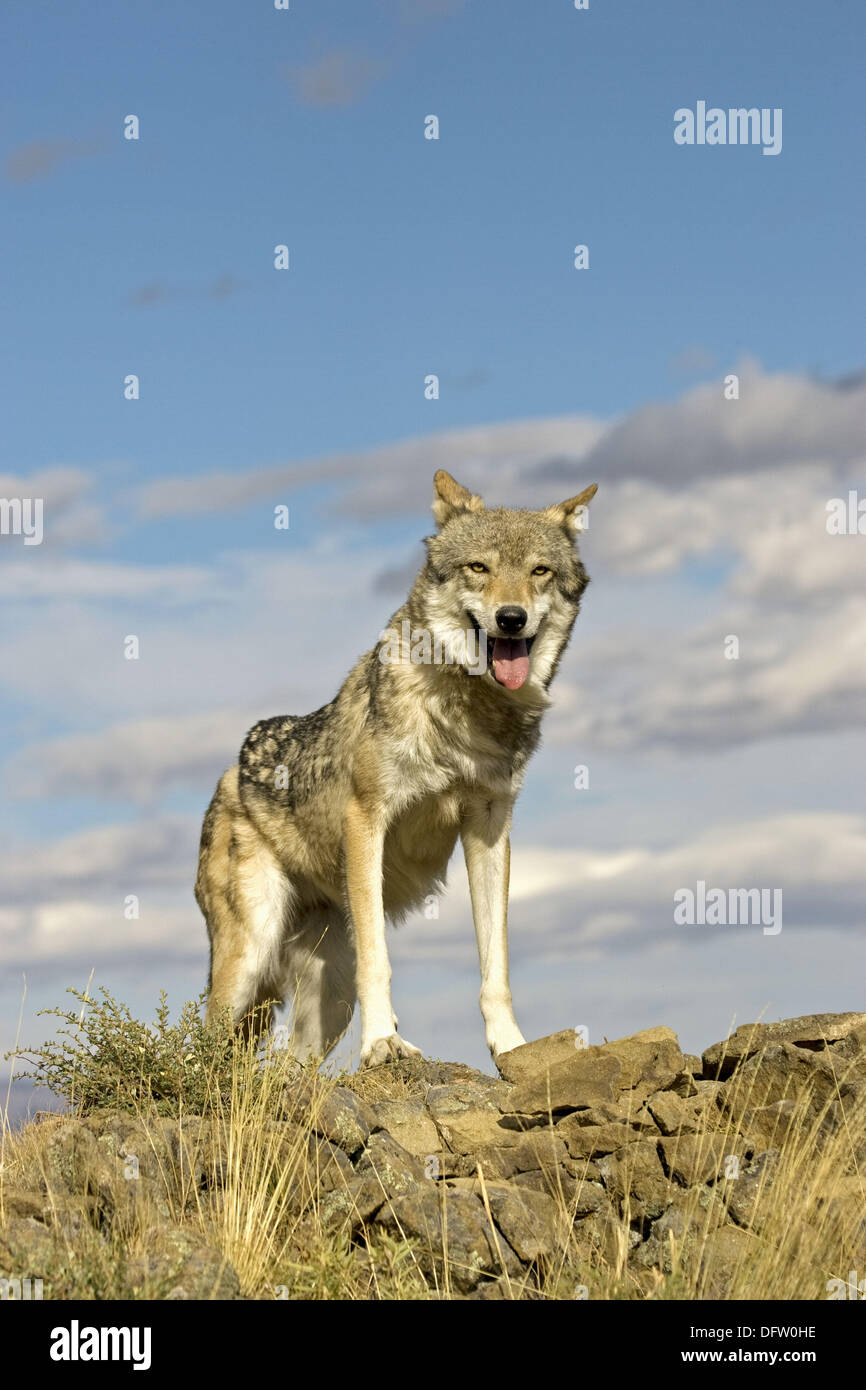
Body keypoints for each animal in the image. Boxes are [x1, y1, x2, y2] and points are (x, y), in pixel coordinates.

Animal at [195, 470, 597, 1068]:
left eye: (538, 571)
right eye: (479, 568)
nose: (511, 618)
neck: (466, 710)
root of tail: (228, 776)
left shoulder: (489, 828)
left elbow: (495, 966)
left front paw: (512, 1048)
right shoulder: (368, 819)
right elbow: (379, 962)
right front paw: (384, 1042)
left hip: (327, 1000)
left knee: (289, 1071)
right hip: (249, 960)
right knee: (199, 1049)